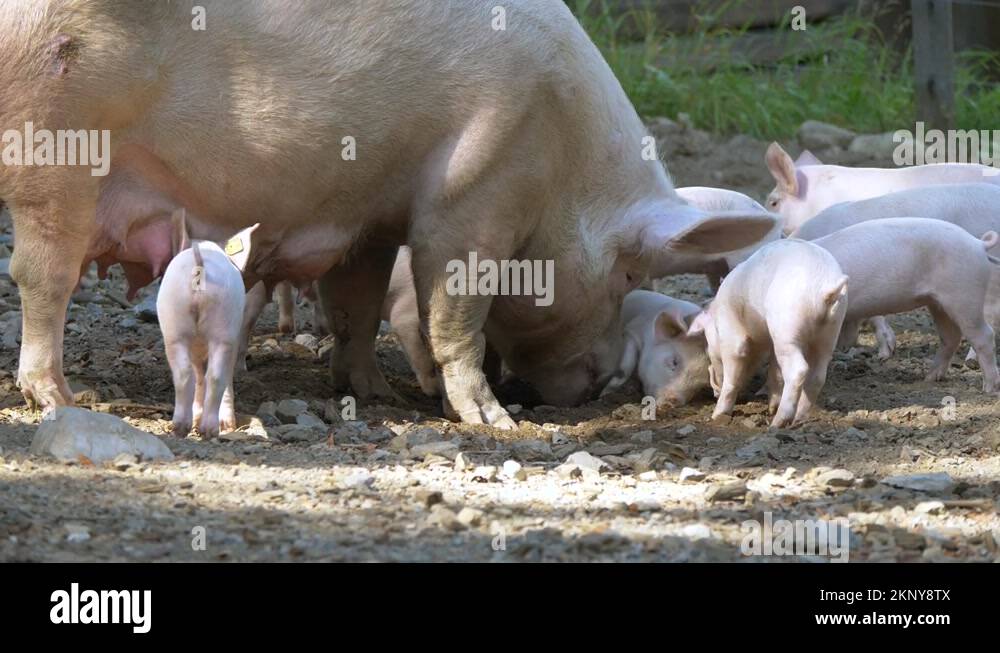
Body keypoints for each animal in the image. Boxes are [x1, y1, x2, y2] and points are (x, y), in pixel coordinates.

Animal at [157, 210, 257, 437]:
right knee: (214, 375)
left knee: (189, 373)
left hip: (177, 322)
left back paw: (188, 429)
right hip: (221, 322)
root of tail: (200, 266)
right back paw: (209, 429)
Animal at [687, 240, 849, 427]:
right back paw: (797, 420)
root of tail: (825, 289)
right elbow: (775, 370)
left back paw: (776, 424)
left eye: (707, 344)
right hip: (830, 331)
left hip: (788, 328)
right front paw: (771, 406)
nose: (714, 393)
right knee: (818, 376)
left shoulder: (731, 333)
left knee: (799, 370)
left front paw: (716, 417)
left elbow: (734, 370)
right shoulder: (771, 344)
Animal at [812, 218, 1000, 392]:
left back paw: (988, 389)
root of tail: (978, 244)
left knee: (984, 335)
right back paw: (930, 379)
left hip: (964, 294)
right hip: (937, 302)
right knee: (951, 337)